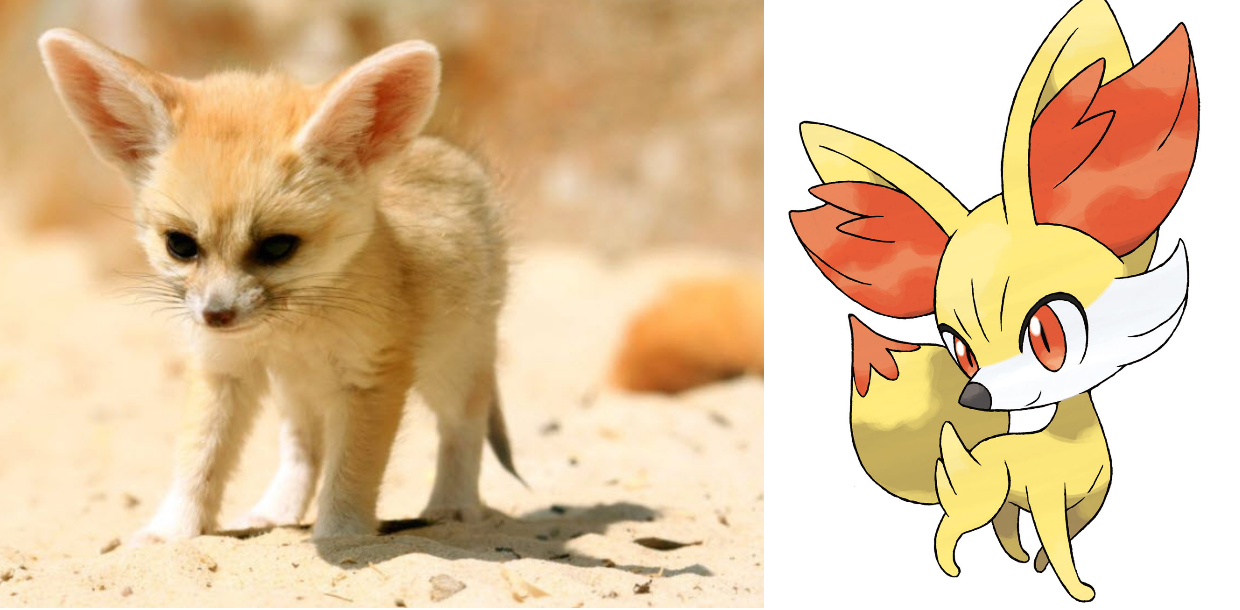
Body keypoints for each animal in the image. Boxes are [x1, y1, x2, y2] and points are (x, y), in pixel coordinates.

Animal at [38, 29, 519, 542]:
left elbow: (351, 473)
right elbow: (198, 459)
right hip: (298, 392)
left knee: (462, 426)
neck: (289, 333)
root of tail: (443, 150)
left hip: (449, 367)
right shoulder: (222, 368)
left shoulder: (370, 379)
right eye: (180, 245)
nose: (217, 315)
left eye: (277, 246)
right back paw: (275, 513)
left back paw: (453, 506)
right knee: (303, 448)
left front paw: (342, 537)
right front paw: (172, 532)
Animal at [789, 0, 1196, 602]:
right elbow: (1061, 545)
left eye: (1048, 335)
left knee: (994, 526)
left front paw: (1050, 573)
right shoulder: (1048, 499)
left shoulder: (1078, 499)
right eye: (961, 351)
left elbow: (1066, 537)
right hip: (978, 502)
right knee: (955, 528)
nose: (975, 395)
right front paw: (1076, 590)